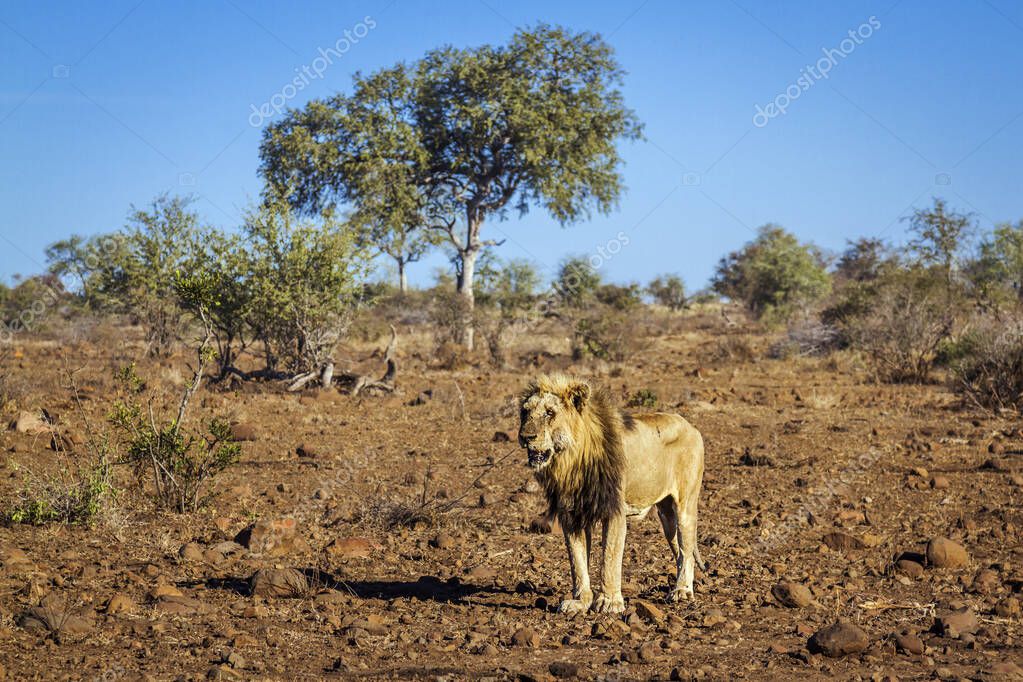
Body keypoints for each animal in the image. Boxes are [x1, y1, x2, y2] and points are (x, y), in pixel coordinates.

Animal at [518, 374, 705, 615]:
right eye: (525, 412)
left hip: (685, 504)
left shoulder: (614, 509)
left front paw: (609, 602)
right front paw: (580, 601)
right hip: (666, 514)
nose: (525, 436)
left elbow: (609, 557)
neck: (571, 461)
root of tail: (690, 426)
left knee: (687, 544)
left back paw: (682, 590)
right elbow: (577, 562)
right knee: (681, 549)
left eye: (550, 413)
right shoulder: (571, 514)